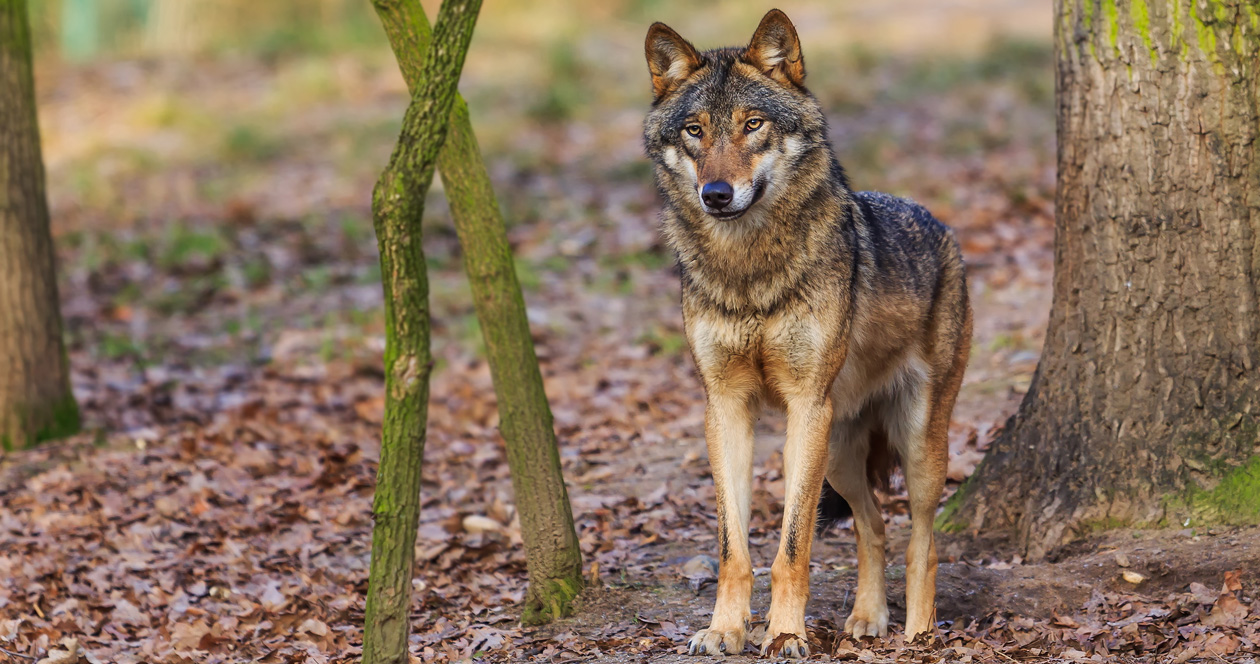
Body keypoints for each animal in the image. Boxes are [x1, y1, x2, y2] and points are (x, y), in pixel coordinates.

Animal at [642, 9, 972, 658]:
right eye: (695, 130)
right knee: (874, 527)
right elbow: (734, 548)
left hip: (915, 443)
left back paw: (919, 634)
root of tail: (944, 227)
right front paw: (725, 631)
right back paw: (867, 618)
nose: (716, 194)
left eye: (753, 124)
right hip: (837, 451)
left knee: (923, 540)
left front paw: (786, 635)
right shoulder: (726, 407)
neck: (748, 271)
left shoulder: (803, 403)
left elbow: (792, 547)